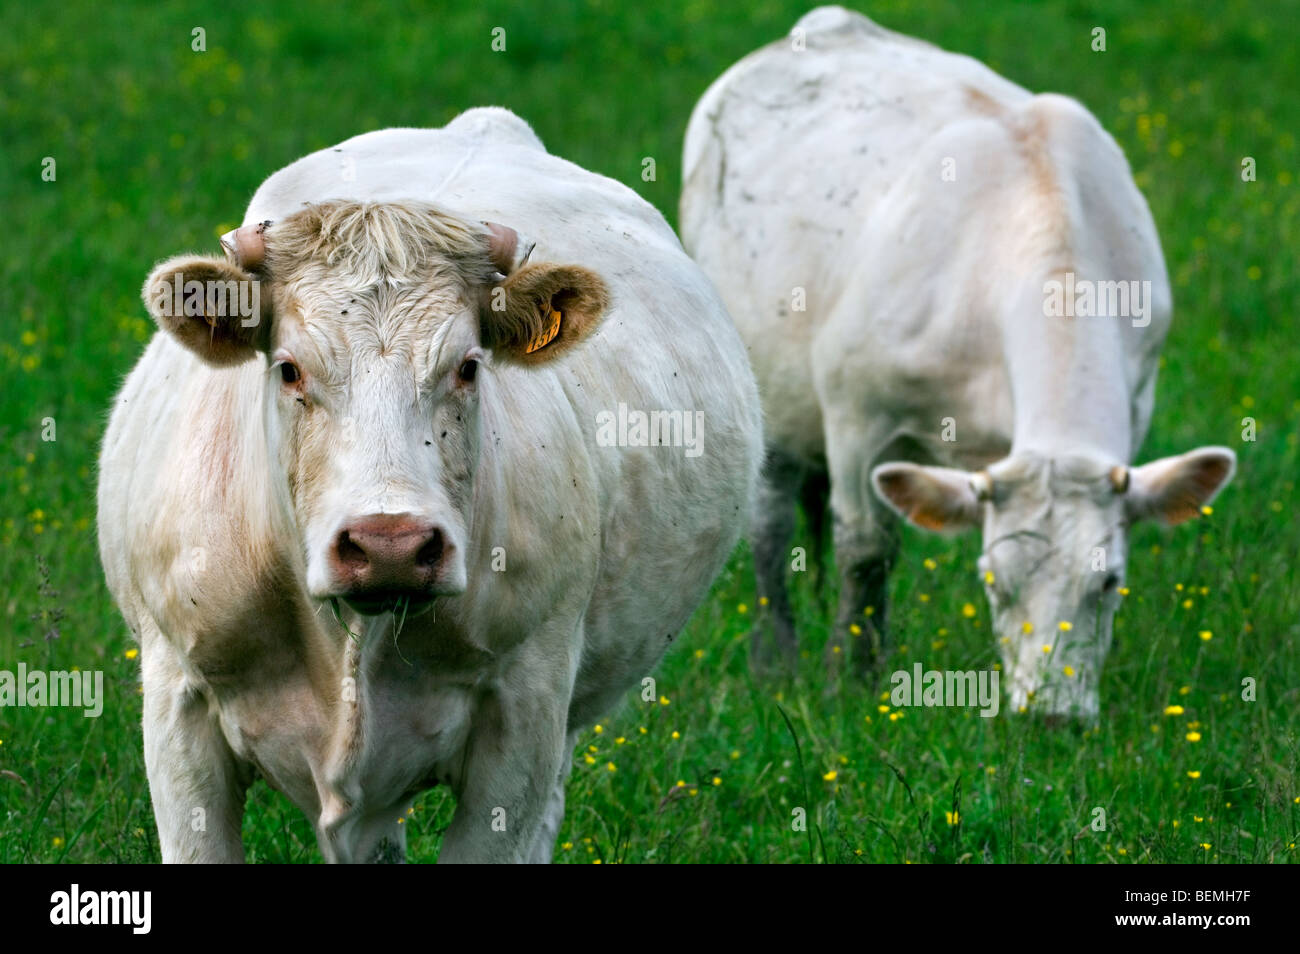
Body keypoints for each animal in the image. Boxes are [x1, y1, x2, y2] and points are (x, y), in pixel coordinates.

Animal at [680, 7, 1234, 720]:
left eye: (1110, 582)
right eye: (993, 583)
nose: (1051, 716)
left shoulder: (1136, 402)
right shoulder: (856, 410)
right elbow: (866, 550)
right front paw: (849, 677)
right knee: (772, 519)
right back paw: (775, 657)